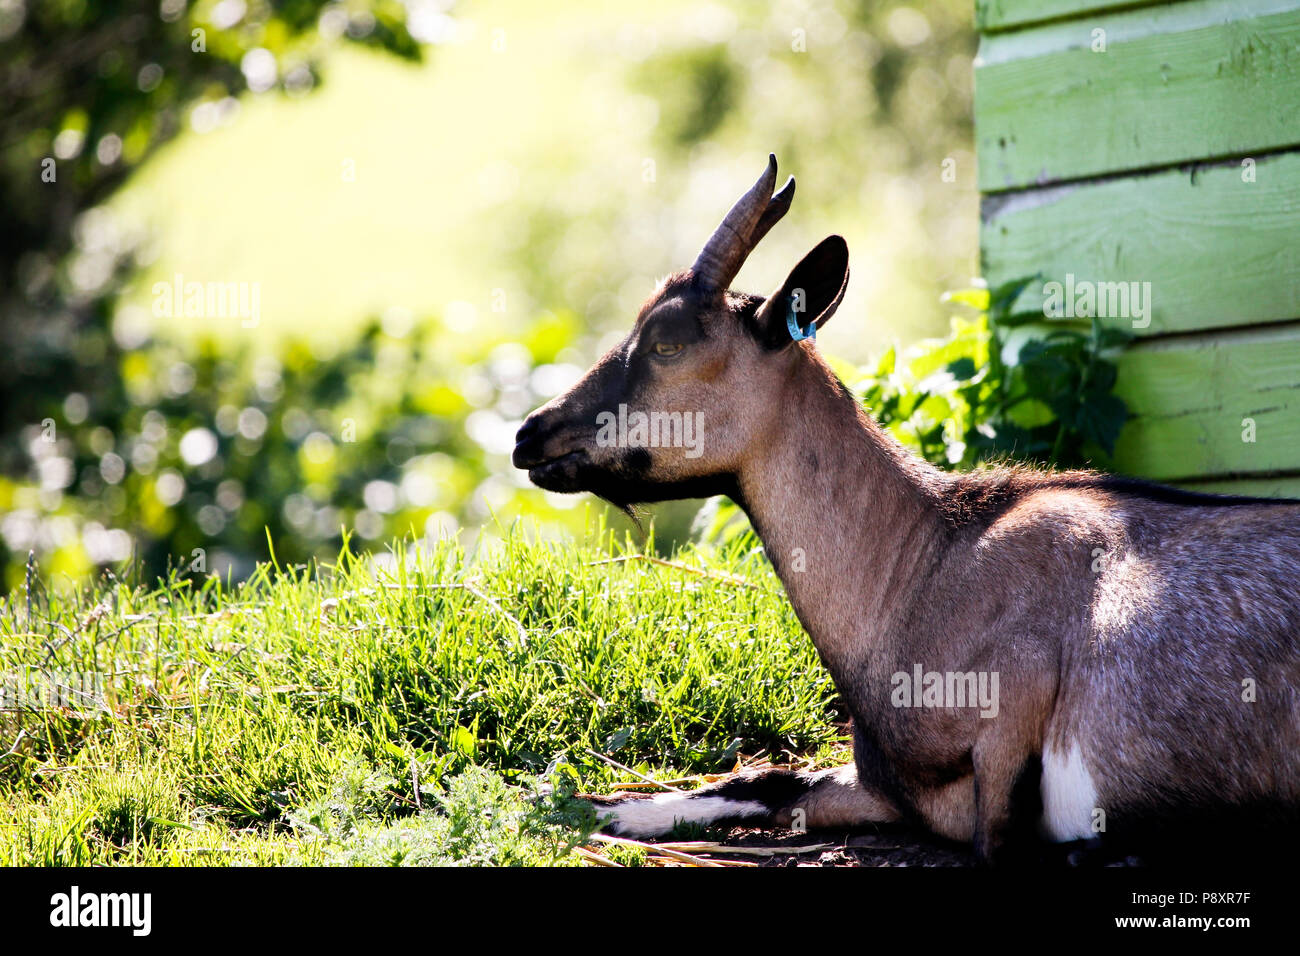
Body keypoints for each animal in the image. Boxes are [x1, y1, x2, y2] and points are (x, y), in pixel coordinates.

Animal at [512, 155, 1300, 864]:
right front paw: (591, 806)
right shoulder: (886, 783)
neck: (922, 569)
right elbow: (770, 783)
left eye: (666, 342)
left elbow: (996, 844)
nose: (530, 434)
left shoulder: (1015, 704)